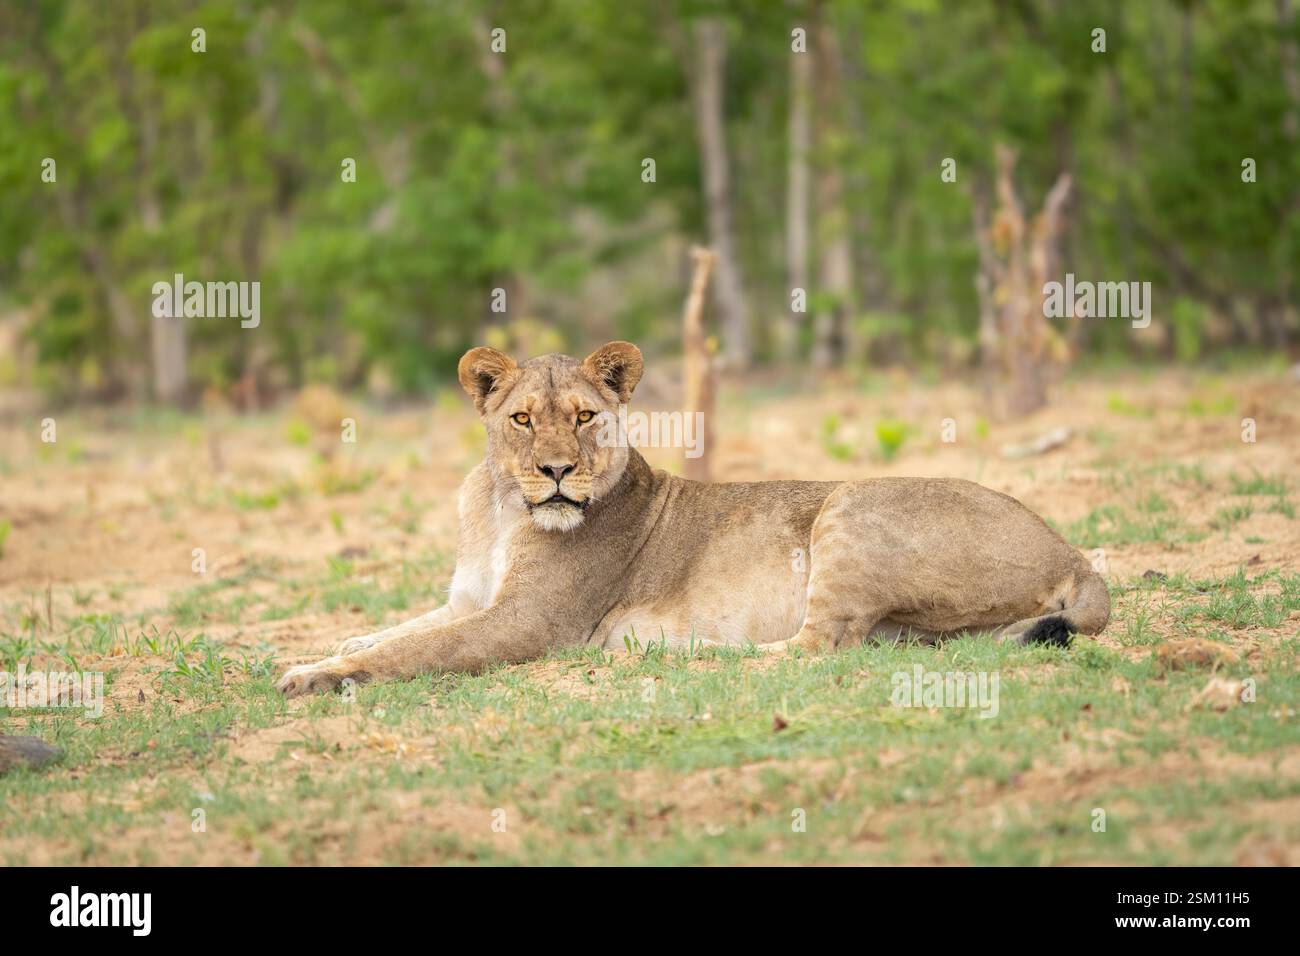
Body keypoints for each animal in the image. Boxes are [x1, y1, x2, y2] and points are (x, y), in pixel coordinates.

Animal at [275, 342, 1109, 697]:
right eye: (521, 419)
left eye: (584, 416)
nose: (556, 471)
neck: (501, 509)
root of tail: (1071, 550)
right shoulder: (469, 598)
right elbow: (399, 629)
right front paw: (330, 646)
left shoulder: (529, 621)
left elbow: (416, 651)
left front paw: (318, 674)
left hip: (849, 504)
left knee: (816, 646)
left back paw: (681, 652)